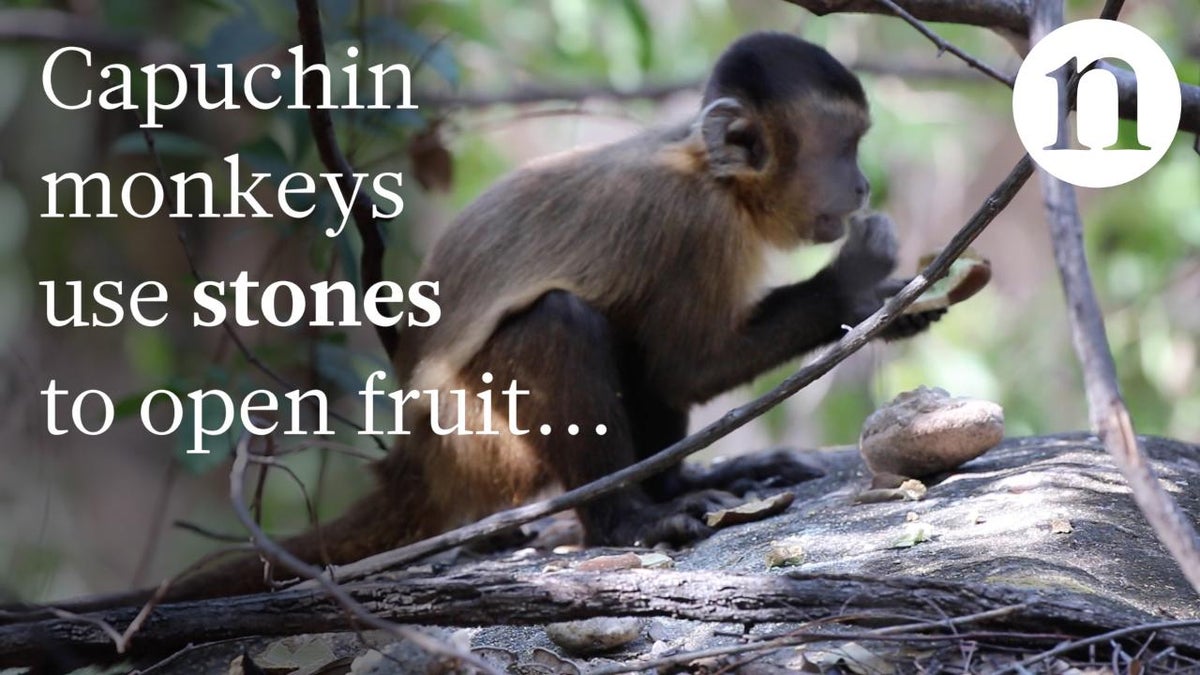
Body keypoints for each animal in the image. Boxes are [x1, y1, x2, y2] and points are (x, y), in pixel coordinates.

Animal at [114, 32, 946, 603]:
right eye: (846, 149)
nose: (863, 185)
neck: (707, 174)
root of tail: (413, 456)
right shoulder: (690, 225)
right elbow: (687, 363)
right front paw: (856, 291)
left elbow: (663, 366)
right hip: (477, 443)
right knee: (564, 322)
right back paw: (628, 519)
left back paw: (675, 484)